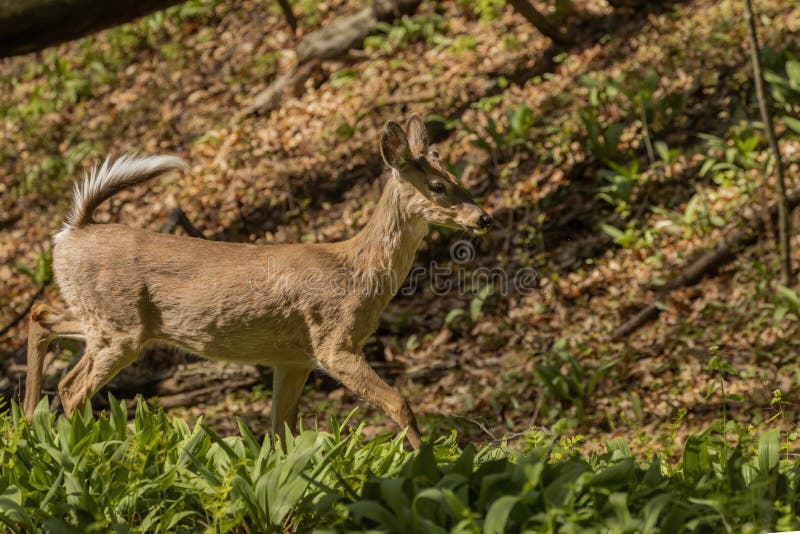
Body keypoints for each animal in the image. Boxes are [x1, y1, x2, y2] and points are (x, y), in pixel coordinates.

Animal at [23, 115, 492, 449]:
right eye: (437, 185)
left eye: (459, 177)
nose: (483, 217)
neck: (356, 271)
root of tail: (71, 231)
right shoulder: (333, 343)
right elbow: (401, 404)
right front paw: (426, 462)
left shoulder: (294, 359)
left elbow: (281, 432)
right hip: (120, 327)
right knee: (71, 386)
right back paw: (85, 447)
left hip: (100, 319)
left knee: (41, 315)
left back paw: (29, 427)